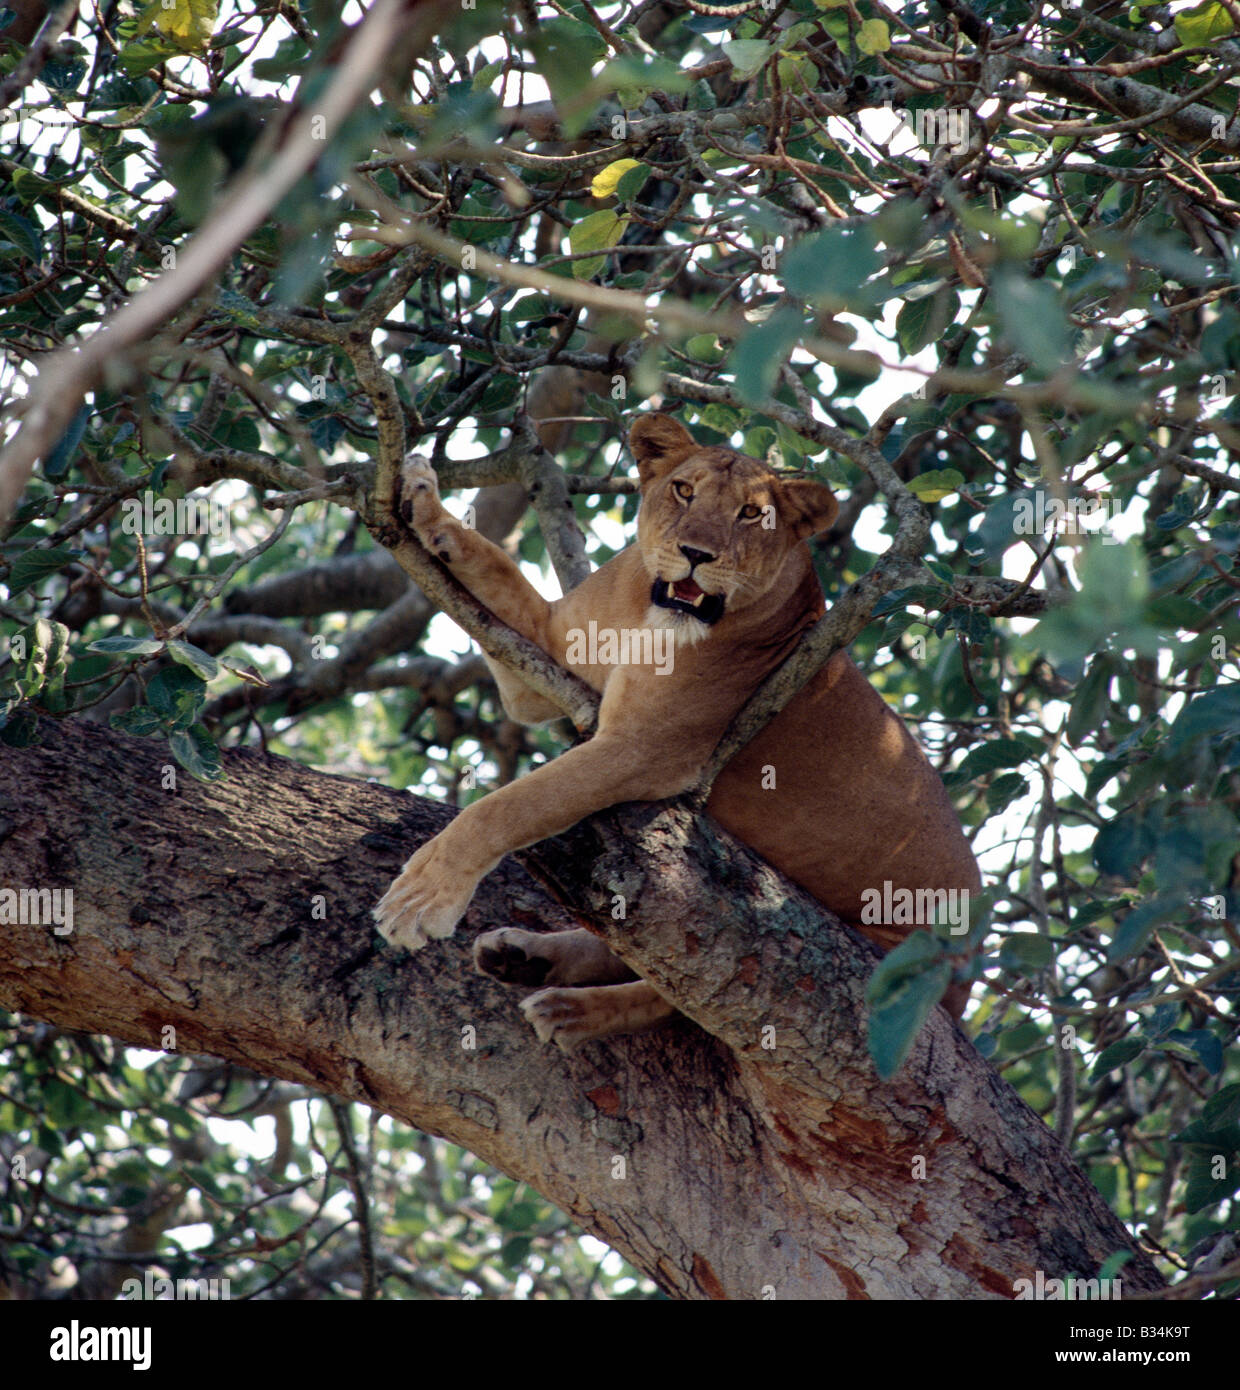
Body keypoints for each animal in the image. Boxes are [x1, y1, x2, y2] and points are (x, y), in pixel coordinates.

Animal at [374, 413, 980, 1048]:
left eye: (751, 514)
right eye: (683, 490)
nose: (694, 553)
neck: (649, 615)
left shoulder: (643, 751)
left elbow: (506, 808)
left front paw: (419, 901)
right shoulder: (542, 658)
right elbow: (492, 564)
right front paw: (422, 495)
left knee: (687, 995)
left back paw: (567, 1008)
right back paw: (524, 957)